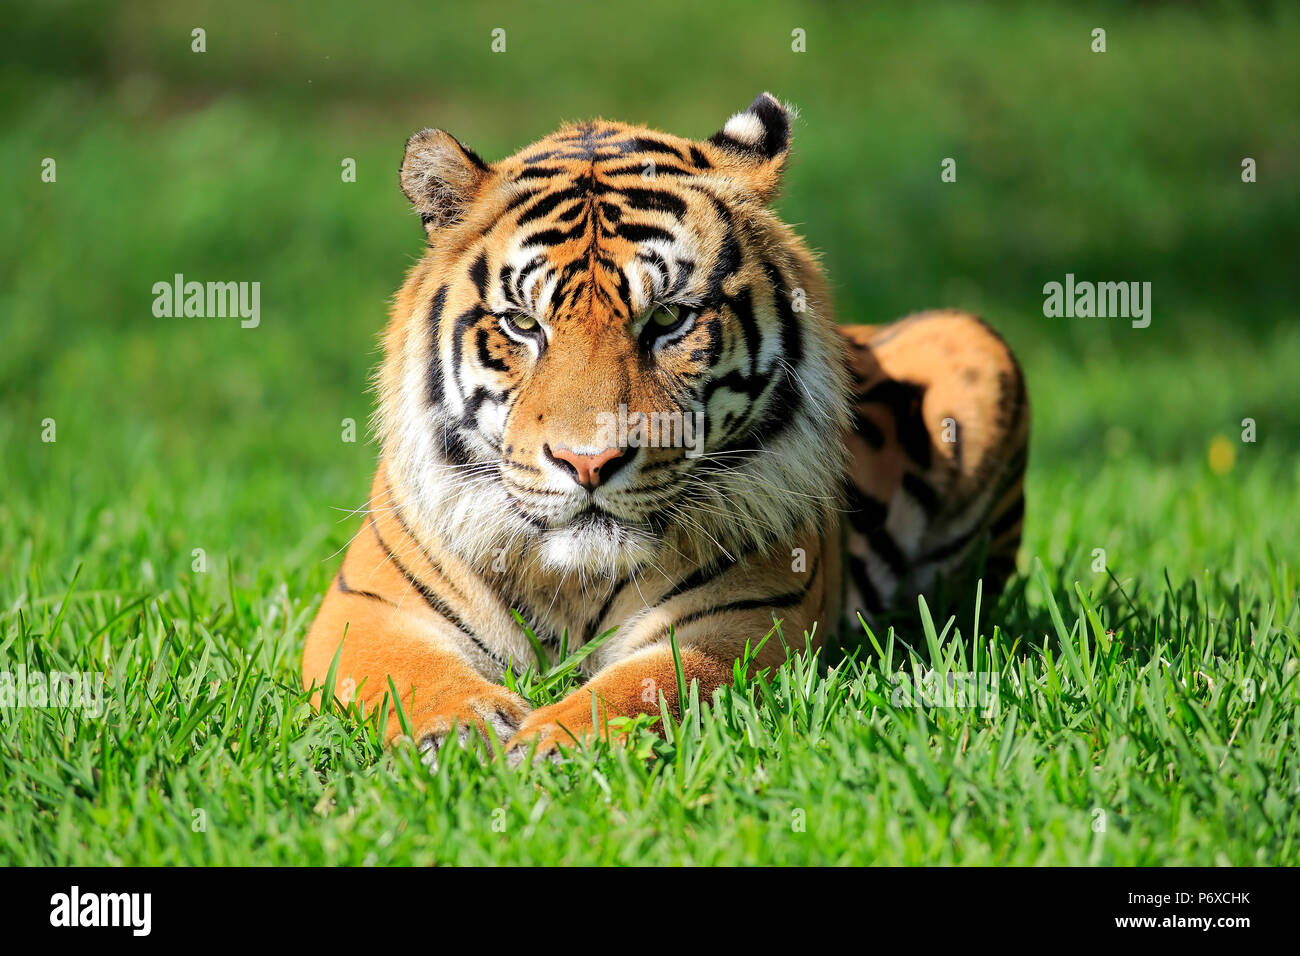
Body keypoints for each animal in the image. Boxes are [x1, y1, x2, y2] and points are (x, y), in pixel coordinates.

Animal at [301, 93, 1029, 764]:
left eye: (668, 319)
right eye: (523, 325)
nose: (587, 463)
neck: (577, 582)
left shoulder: (745, 618)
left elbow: (647, 685)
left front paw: (553, 745)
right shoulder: (369, 608)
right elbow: (412, 673)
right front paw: (462, 733)